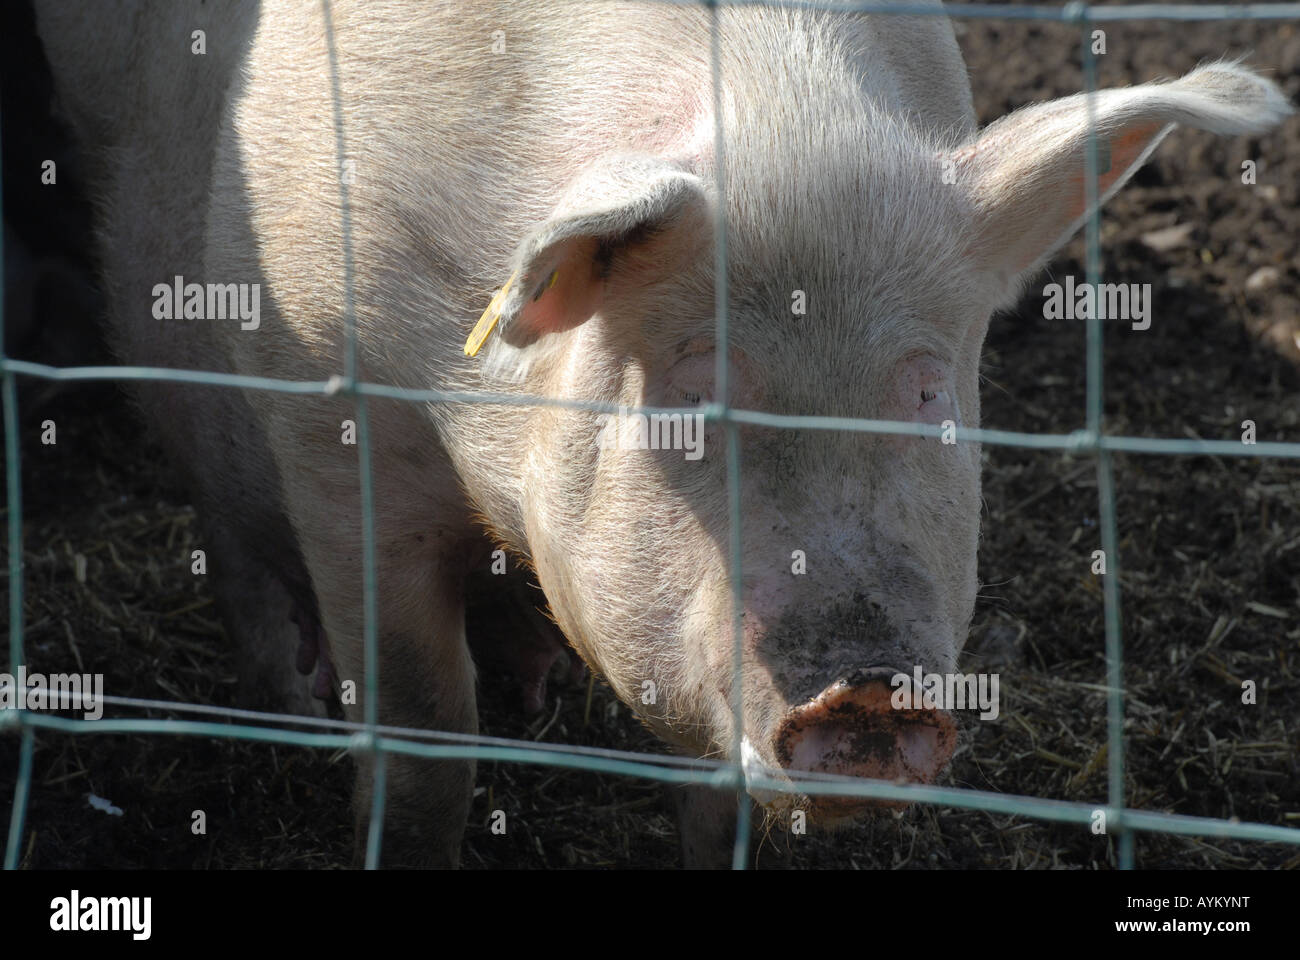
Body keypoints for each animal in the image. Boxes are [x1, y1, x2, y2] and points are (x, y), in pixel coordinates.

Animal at [33, 0, 1291, 867]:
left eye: (929, 391)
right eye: (696, 388)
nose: (867, 690)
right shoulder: (329, 418)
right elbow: (425, 727)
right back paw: (290, 702)